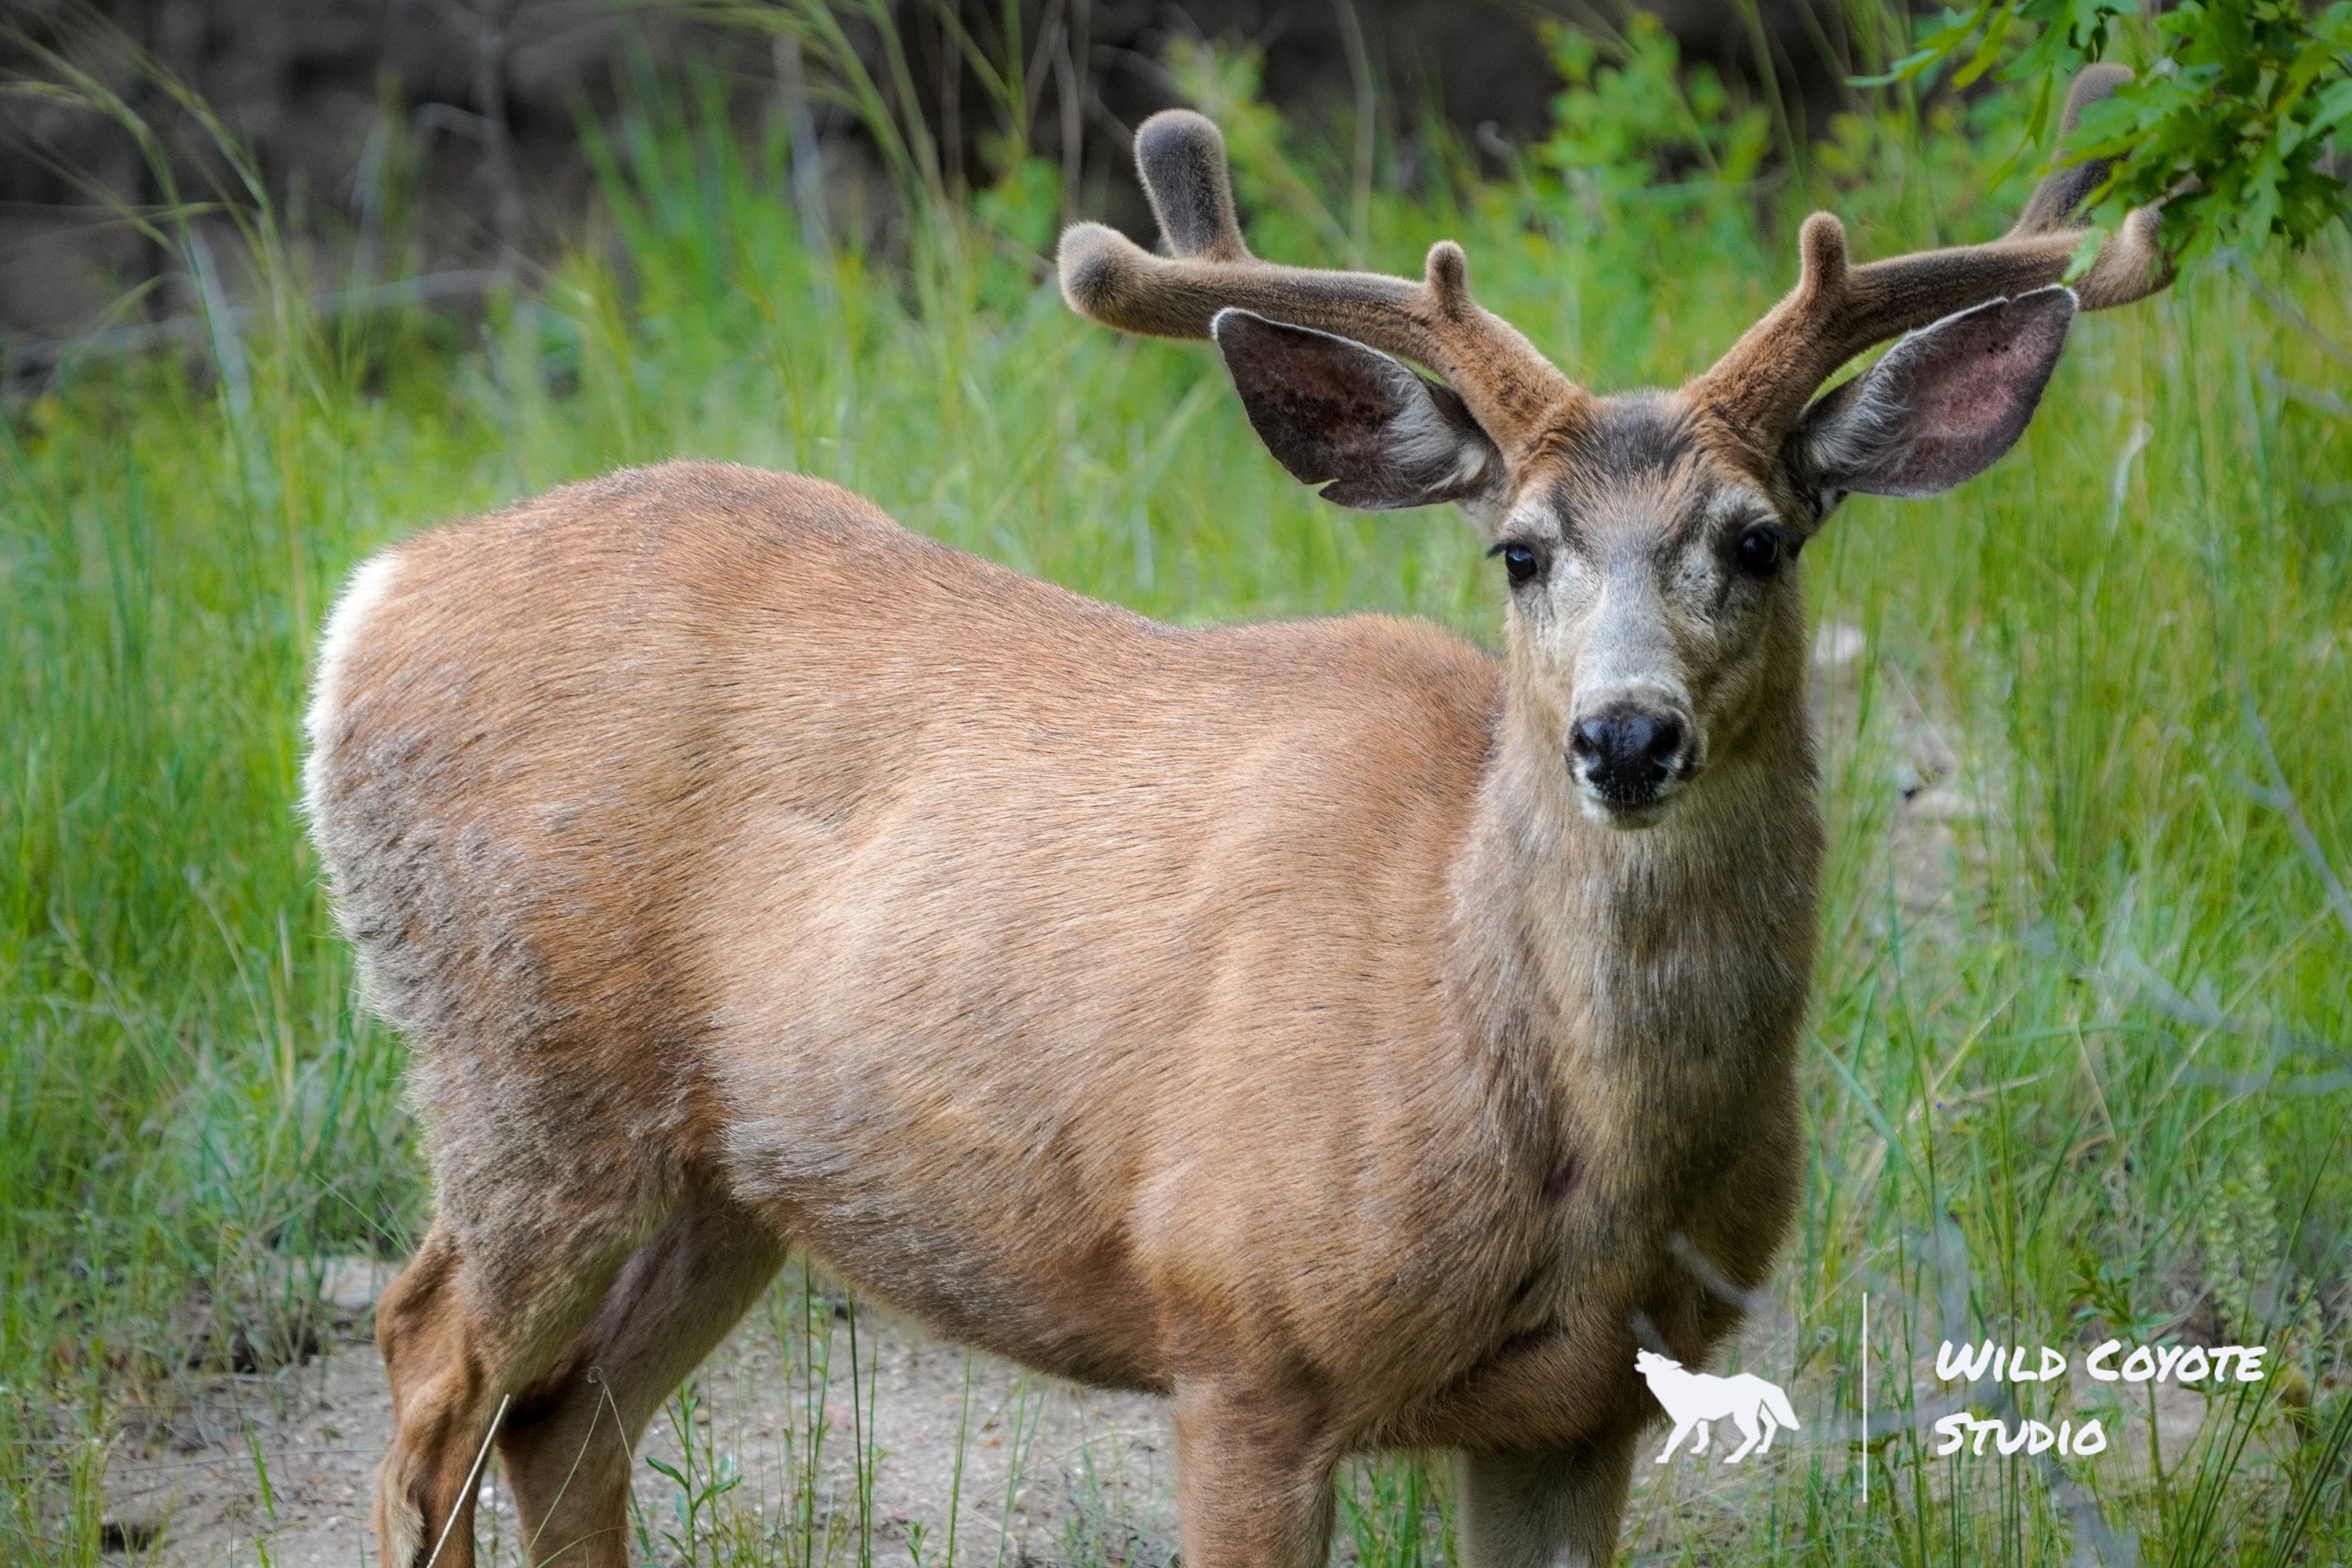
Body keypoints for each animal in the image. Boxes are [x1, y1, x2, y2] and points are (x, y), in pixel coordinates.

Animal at [304, 65, 2167, 1568]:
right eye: (1520, 549)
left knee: (566, 1419)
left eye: (1762, 537)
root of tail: (370, 603)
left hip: (723, 1172)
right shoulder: (1240, 1337)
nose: (1626, 736)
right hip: (528, 1068)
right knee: (424, 1359)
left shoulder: (1586, 1410)